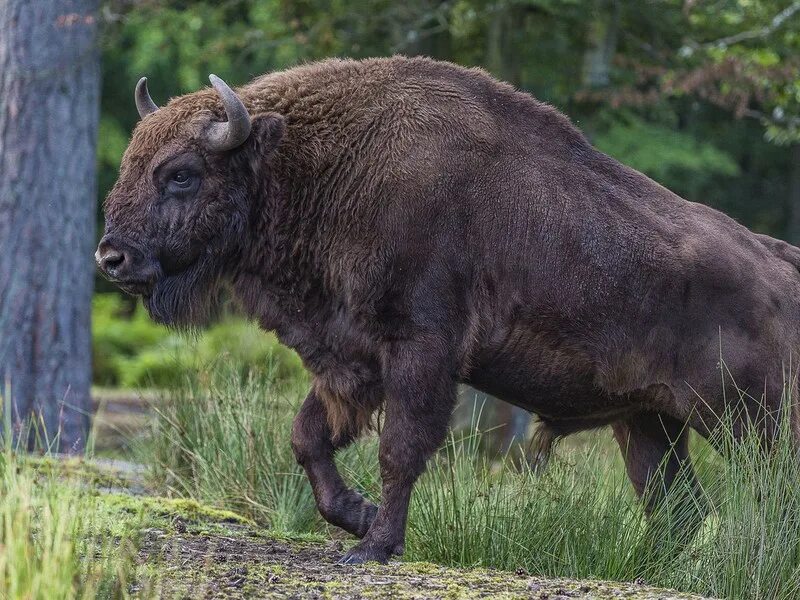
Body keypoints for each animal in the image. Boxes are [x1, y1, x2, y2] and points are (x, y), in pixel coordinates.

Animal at [97, 56, 800, 564]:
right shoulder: (350, 358)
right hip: (650, 422)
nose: (112, 257)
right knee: (677, 508)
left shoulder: (420, 352)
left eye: (181, 173)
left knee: (763, 494)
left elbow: (400, 449)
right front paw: (357, 519)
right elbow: (308, 437)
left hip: (747, 421)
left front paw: (375, 546)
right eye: (132, 160)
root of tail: (781, 267)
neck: (314, 165)